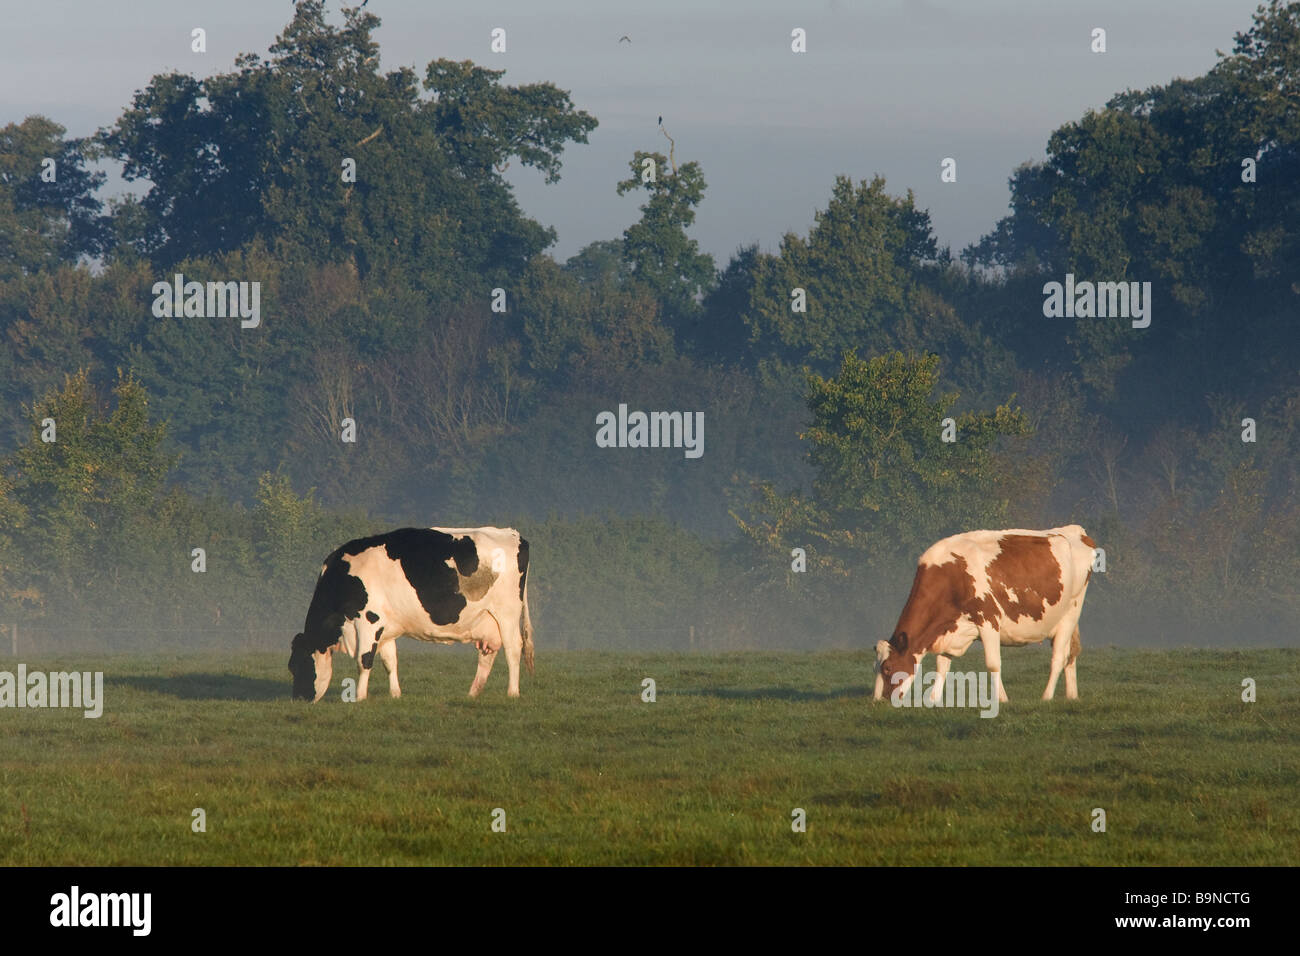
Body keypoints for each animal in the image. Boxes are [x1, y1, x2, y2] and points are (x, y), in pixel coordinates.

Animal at [288, 526, 533, 702]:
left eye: (297, 665)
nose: (298, 699)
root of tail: (511, 533)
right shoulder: (385, 625)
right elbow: (390, 661)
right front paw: (395, 694)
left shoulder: (368, 620)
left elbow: (364, 660)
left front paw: (359, 697)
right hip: (487, 621)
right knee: (487, 656)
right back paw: (472, 694)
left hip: (507, 614)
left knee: (513, 650)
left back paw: (512, 692)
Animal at [872, 525, 1097, 705]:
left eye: (888, 668)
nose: (878, 701)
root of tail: (1075, 530)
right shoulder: (950, 628)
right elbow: (942, 665)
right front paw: (934, 699)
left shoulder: (988, 619)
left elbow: (993, 664)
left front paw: (1003, 699)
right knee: (1071, 653)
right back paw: (1072, 695)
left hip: (1071, 611)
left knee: (1059, 656)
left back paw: (1047, 697)